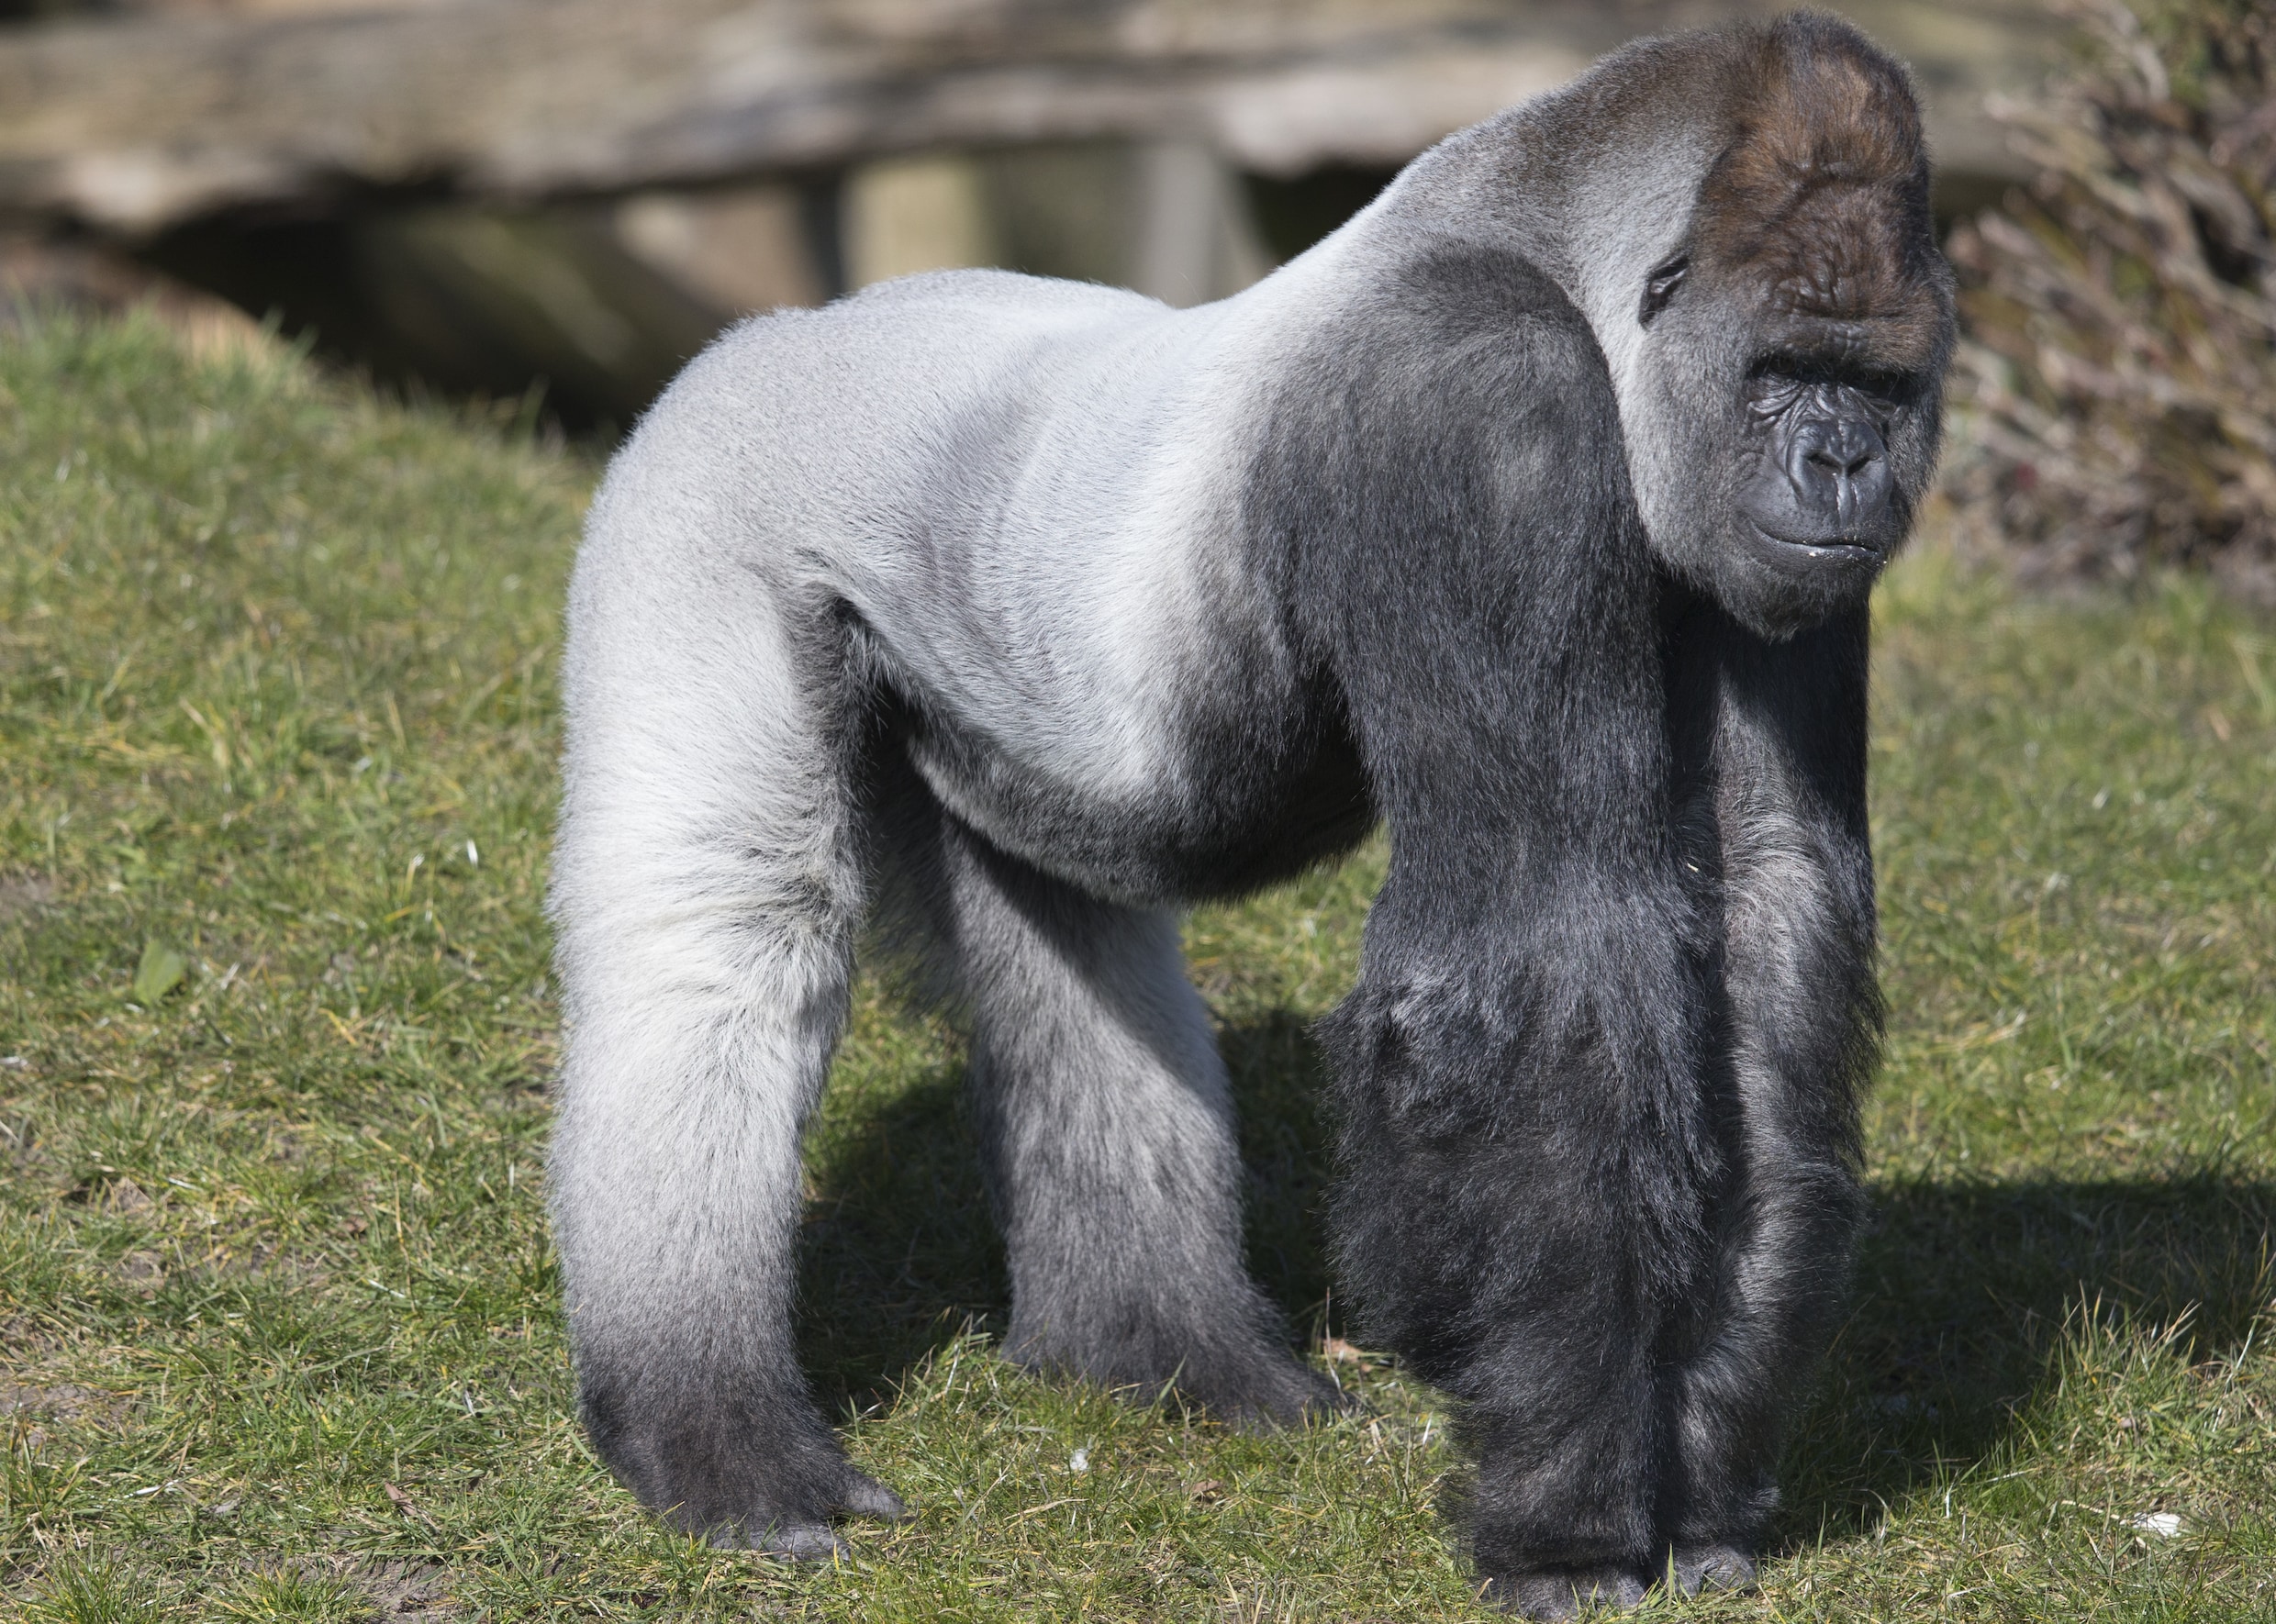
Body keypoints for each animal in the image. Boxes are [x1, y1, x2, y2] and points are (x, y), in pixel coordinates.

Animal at [545, 12, 1951, 1615]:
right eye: (1782, 370)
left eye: (1880, 383)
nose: (1840, 464)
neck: (1558, 248)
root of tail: (774, 329)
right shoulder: (1476, 403)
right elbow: (1545, 953)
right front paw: (1569, 1511)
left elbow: (1773, 920)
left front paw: (1706, 1458)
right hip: (696, 498)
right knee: (724, 933)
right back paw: (707, 1429)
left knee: (1074, 953)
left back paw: (1159, 1349)